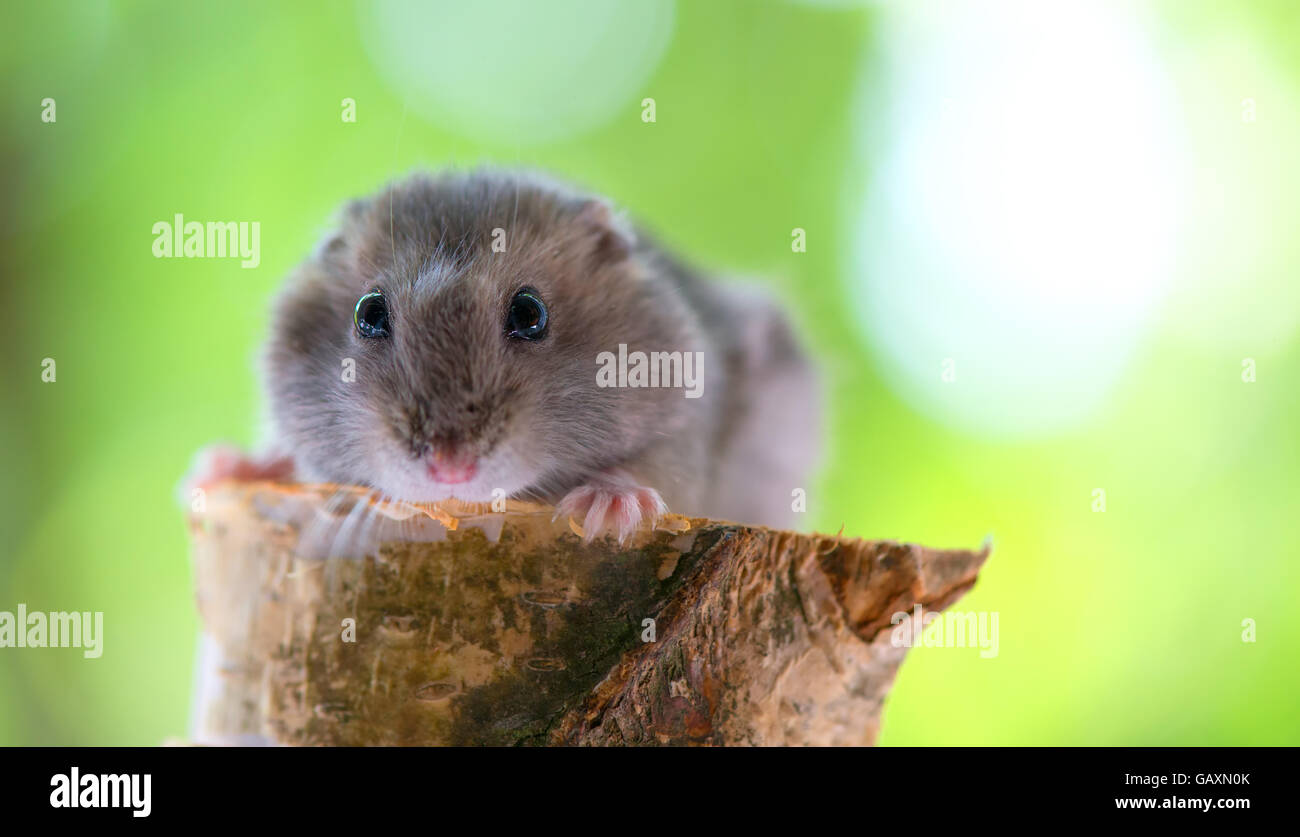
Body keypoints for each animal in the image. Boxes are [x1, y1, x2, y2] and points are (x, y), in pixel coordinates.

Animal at [190, 169, 820, 542]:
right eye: (368, 313)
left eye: (529, 313)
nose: (450, 469)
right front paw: (219, 469)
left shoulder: (688, 424)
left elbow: (656, 467)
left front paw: (606, 510)